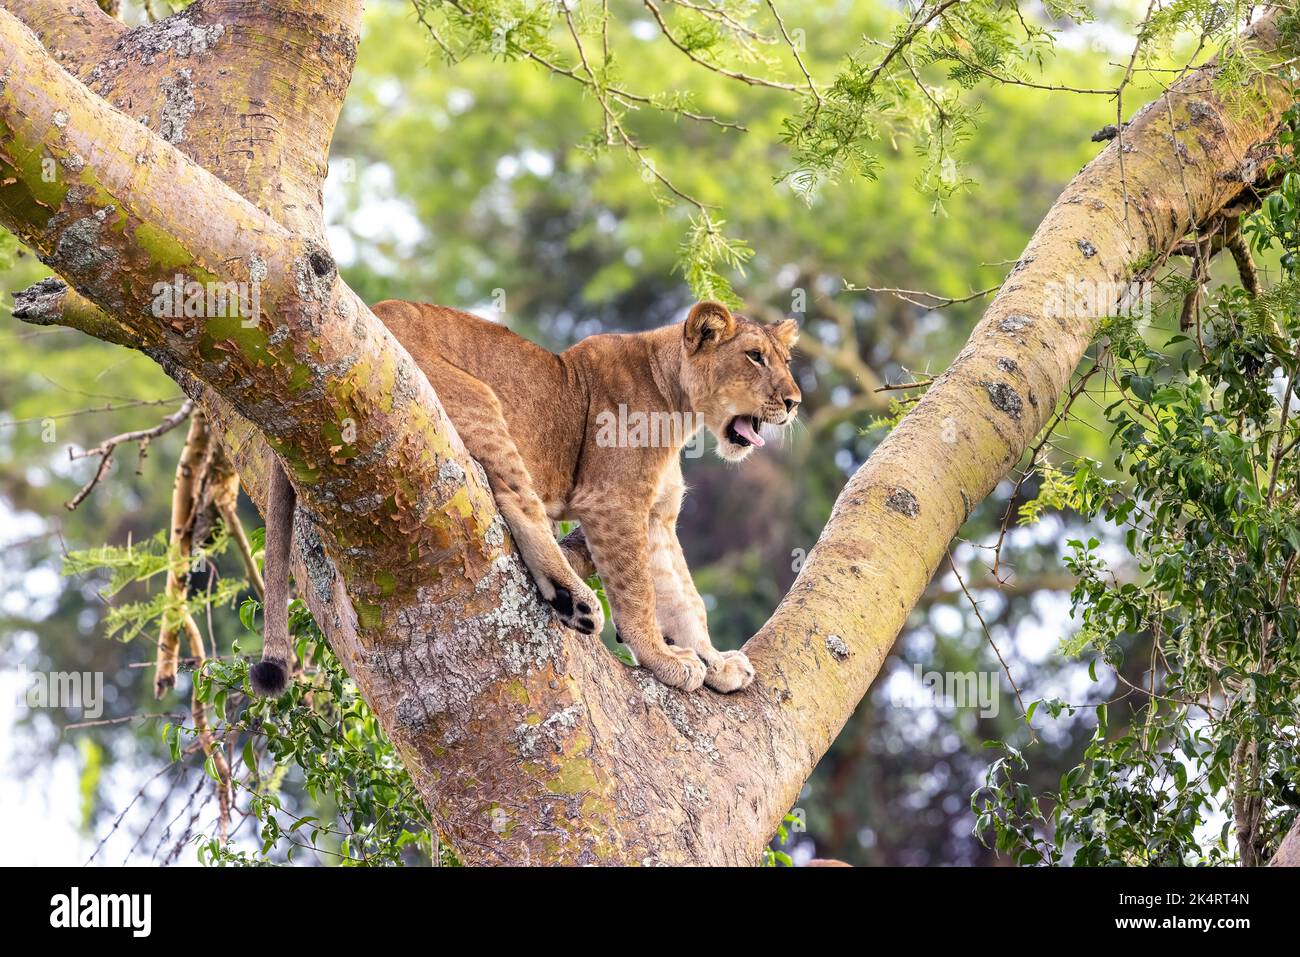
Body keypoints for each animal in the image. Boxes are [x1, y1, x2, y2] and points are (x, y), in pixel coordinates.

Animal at [250, 300, 800, 696]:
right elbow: (638, 593)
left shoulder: (657, 519)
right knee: (517, 497)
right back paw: (575, 601)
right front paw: (663, 659)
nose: (795, 401)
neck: (679, 405)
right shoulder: (613, 502)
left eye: (786, 360)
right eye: (754, 357)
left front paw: (715, 660)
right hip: (475, 398)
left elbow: (684, 597)